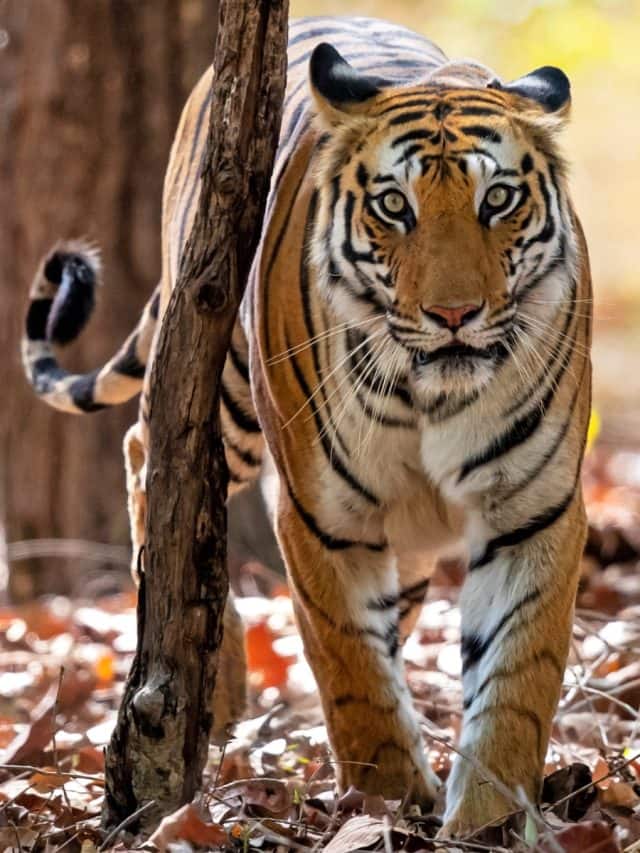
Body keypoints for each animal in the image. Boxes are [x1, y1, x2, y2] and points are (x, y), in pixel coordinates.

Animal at [22, 15, 592, 836]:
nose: (454, 315)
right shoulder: (324, 517)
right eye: (394, 206)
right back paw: (217, 687)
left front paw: (488, 822)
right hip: (222, 387)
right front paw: (390, 802)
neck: (433, 398)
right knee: (147, 457)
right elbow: (353, 672)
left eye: (500, 199)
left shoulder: (532, 510)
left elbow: (517, 677)